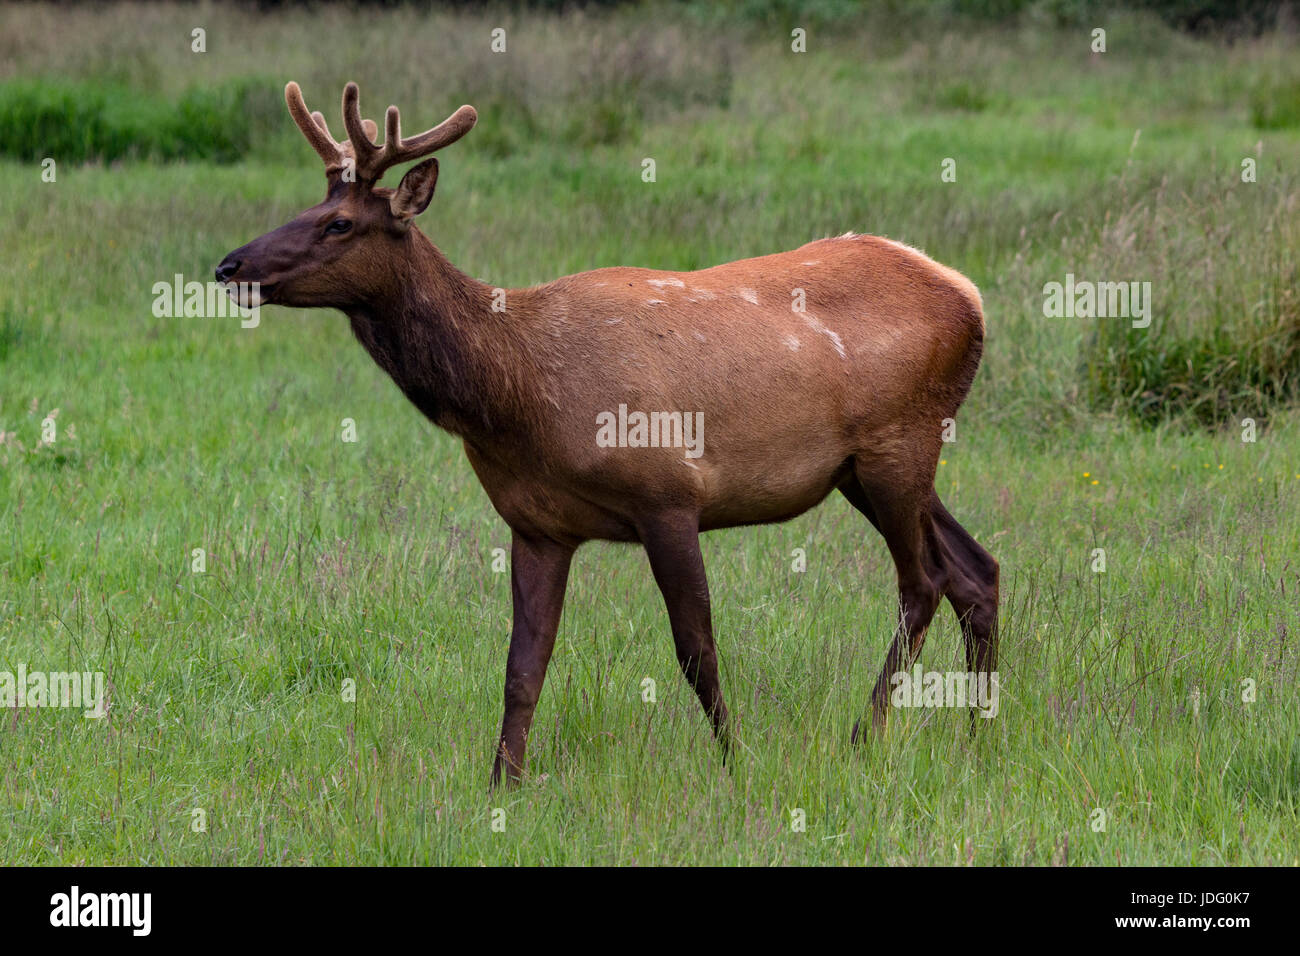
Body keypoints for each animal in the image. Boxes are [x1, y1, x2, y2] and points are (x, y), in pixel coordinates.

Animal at [216, 82, 999, 789]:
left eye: (340, 225)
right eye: (309, 207)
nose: (229, 265)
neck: (519, 396)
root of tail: (971, 296)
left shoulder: (668, 494)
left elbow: (696, 651)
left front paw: (735, 764)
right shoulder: (536, 525)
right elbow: (523, 665)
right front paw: (501, 784)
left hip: (898, 442)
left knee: (923, 581)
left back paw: (865, 737)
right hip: (864, 468)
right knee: (977, 568)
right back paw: (978, 735)